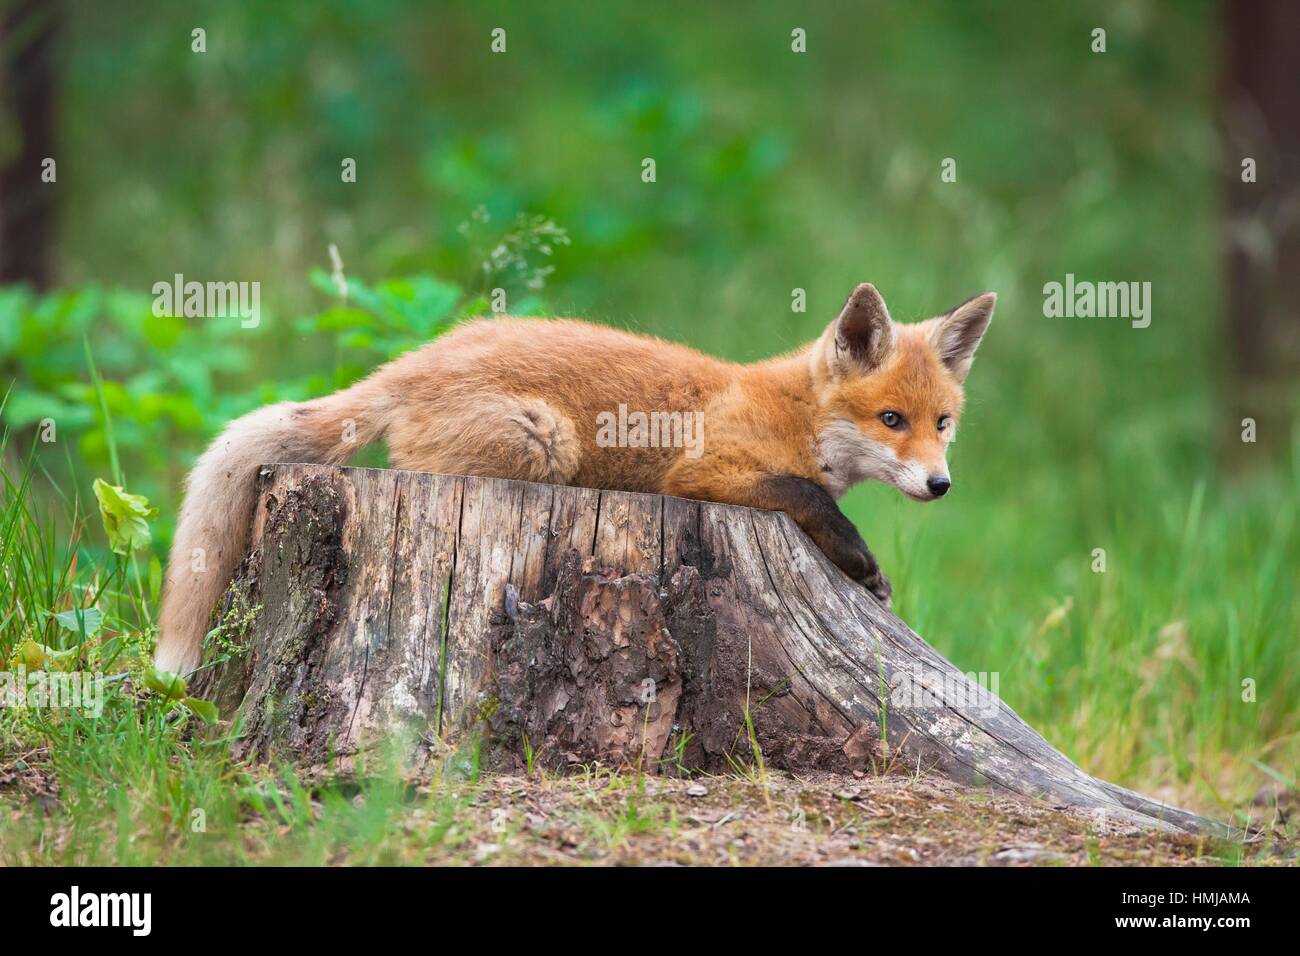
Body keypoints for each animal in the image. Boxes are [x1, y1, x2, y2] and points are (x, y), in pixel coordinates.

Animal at [155, 282, 994, 674]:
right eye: (892, 419)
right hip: (544, 444)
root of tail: (416, 359)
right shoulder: (702, 470)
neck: (792, 412)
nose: (941, 485)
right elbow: (806, 496)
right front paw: (859, 561)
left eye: (943, 423)